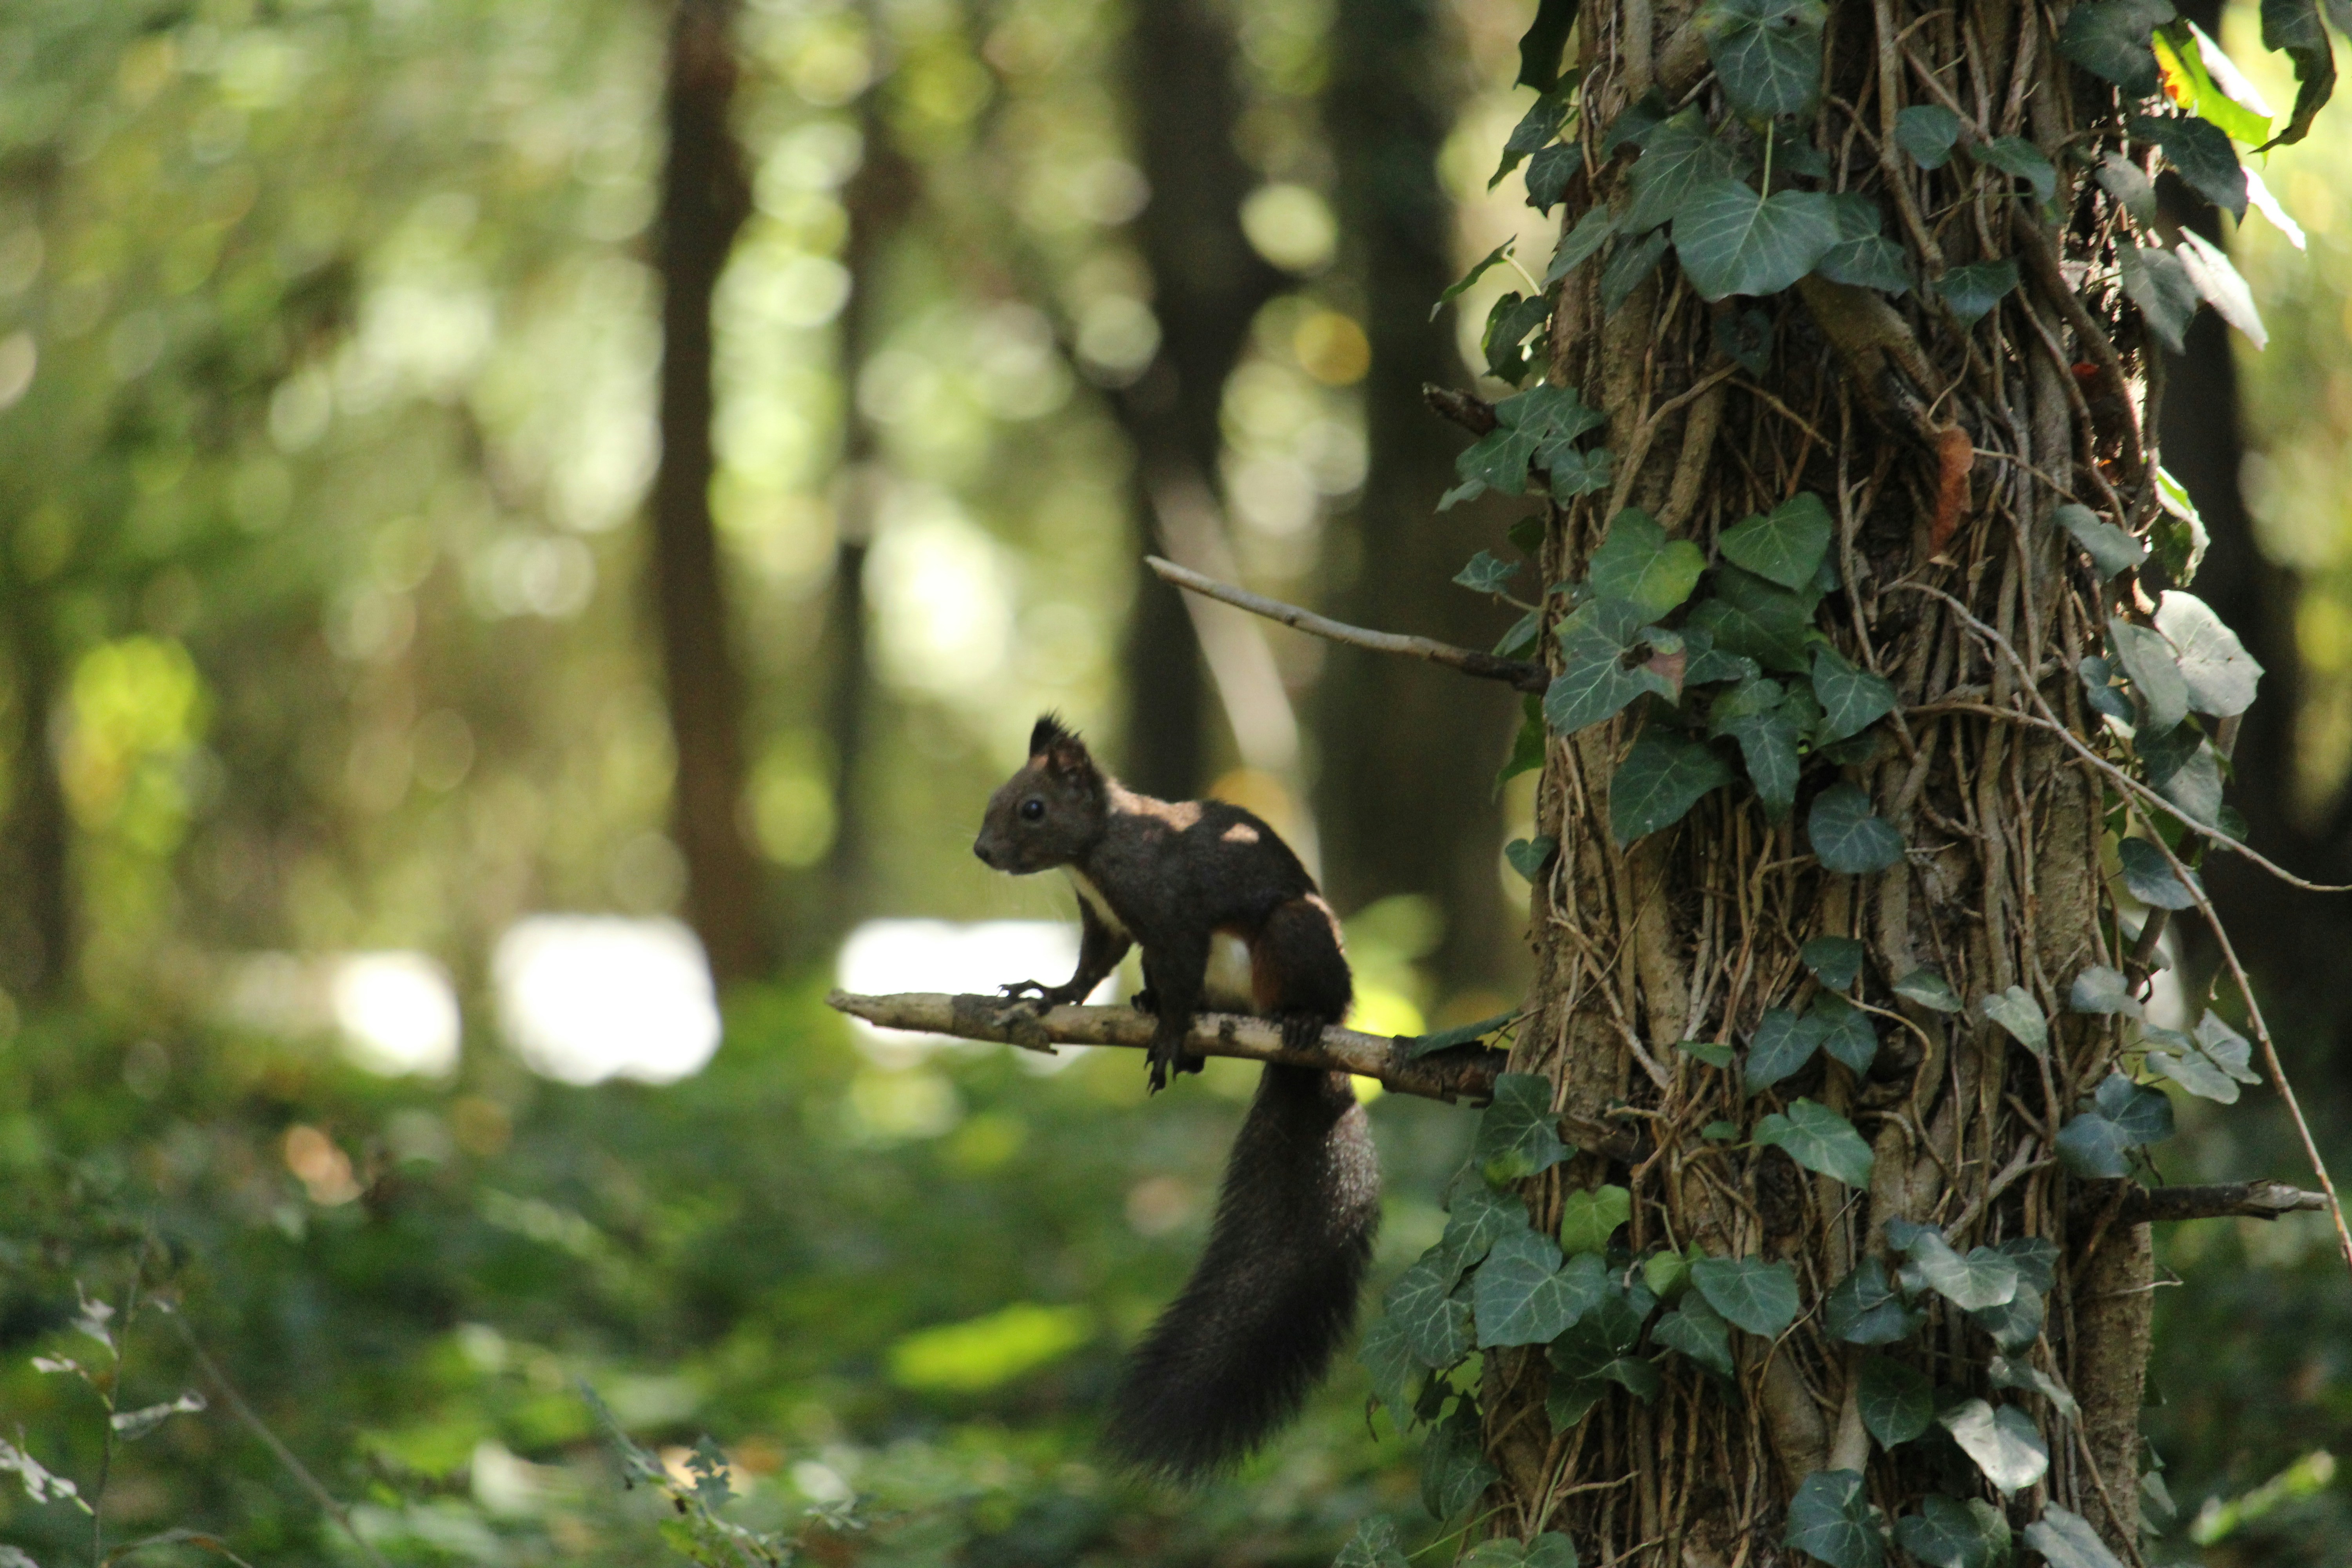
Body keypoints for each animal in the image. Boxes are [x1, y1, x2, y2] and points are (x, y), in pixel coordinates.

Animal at [972, 715, 1380, 1483]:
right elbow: (1091, 969)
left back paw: (1297, 1020)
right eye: (995, 799)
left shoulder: (1171, 915)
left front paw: (1165, 1033)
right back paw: (1161, 1016)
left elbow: (1180, 965)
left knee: (1300, 987)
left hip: (1294, 935)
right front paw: (1053, 996)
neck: (1096, 852)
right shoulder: (1110, 923)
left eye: (1033, 808)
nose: (982, 851)